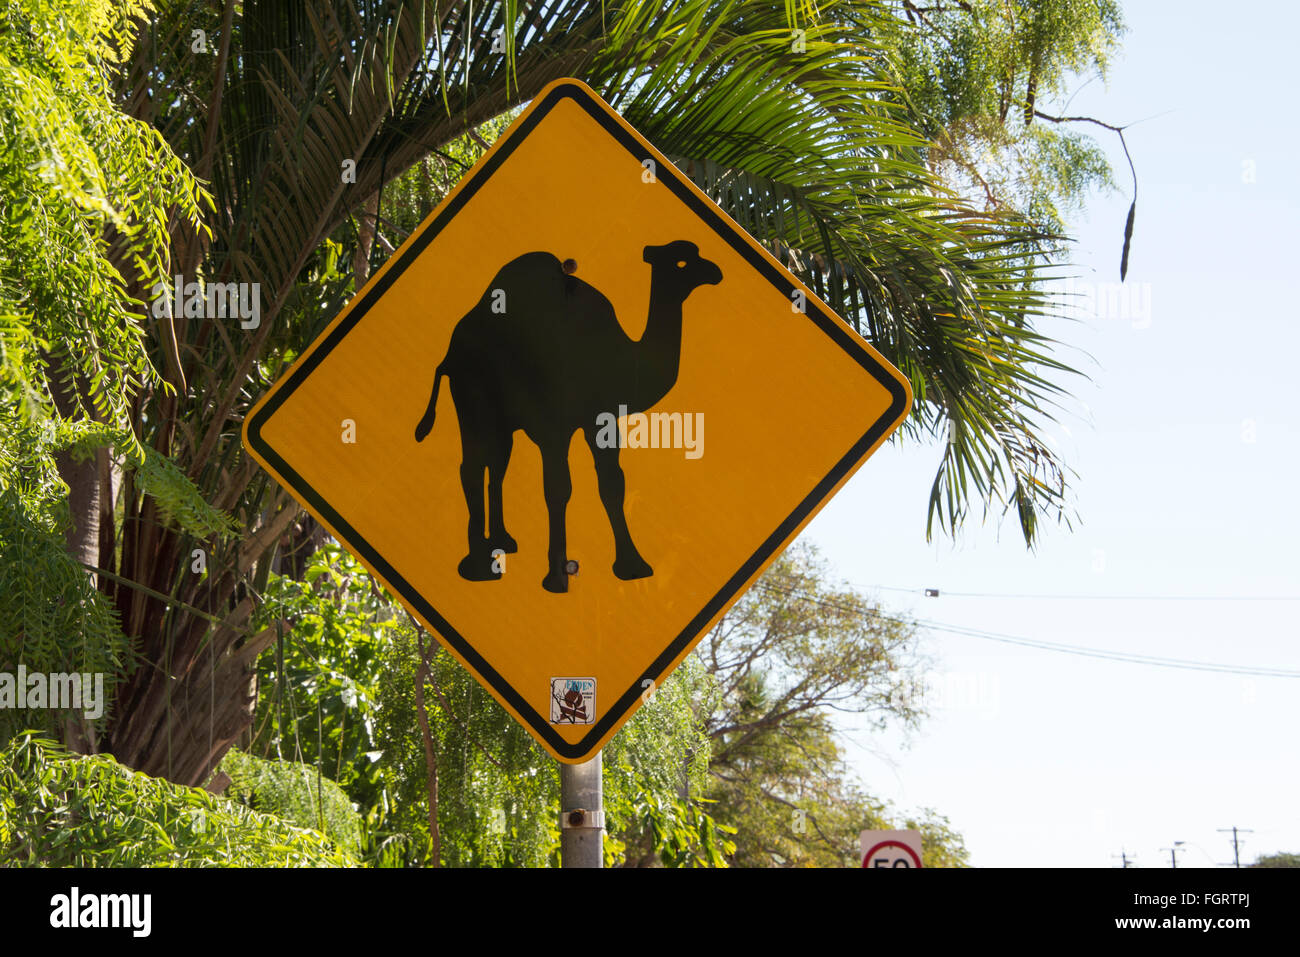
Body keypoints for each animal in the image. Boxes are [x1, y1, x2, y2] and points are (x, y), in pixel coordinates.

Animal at [414, 240, 723, 592]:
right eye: (682, 261)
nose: (716, 272)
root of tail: (449, 354)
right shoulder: (553, 425)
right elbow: (558, 488)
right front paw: (557, 577)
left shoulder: (600, 418)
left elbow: (612, 483)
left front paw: (633, 566)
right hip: (472, 400)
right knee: (472, 466)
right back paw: (479, 567)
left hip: (500, 422)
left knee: (496, 467)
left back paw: (502, 543)